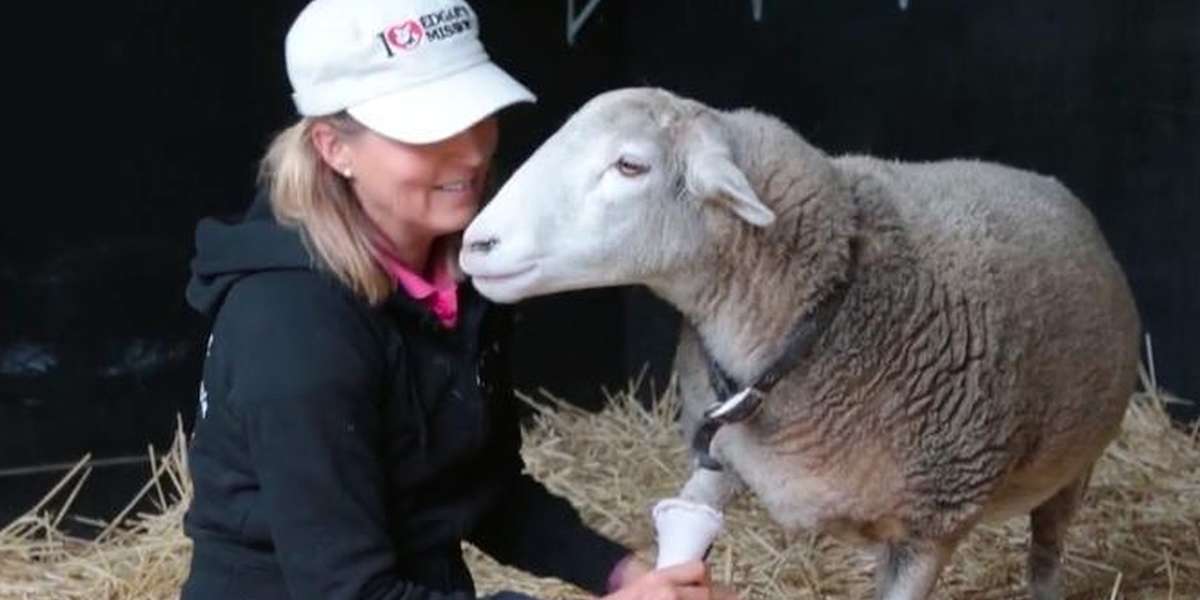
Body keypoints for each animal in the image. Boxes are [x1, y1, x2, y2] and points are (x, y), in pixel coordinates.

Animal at [459, 87, 1141, 600]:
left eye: (630, 165)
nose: (475, 244)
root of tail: (1048, 184)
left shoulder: (932, 524)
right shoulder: (718, 459)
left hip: (1074, 466)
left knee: (1046, 550)